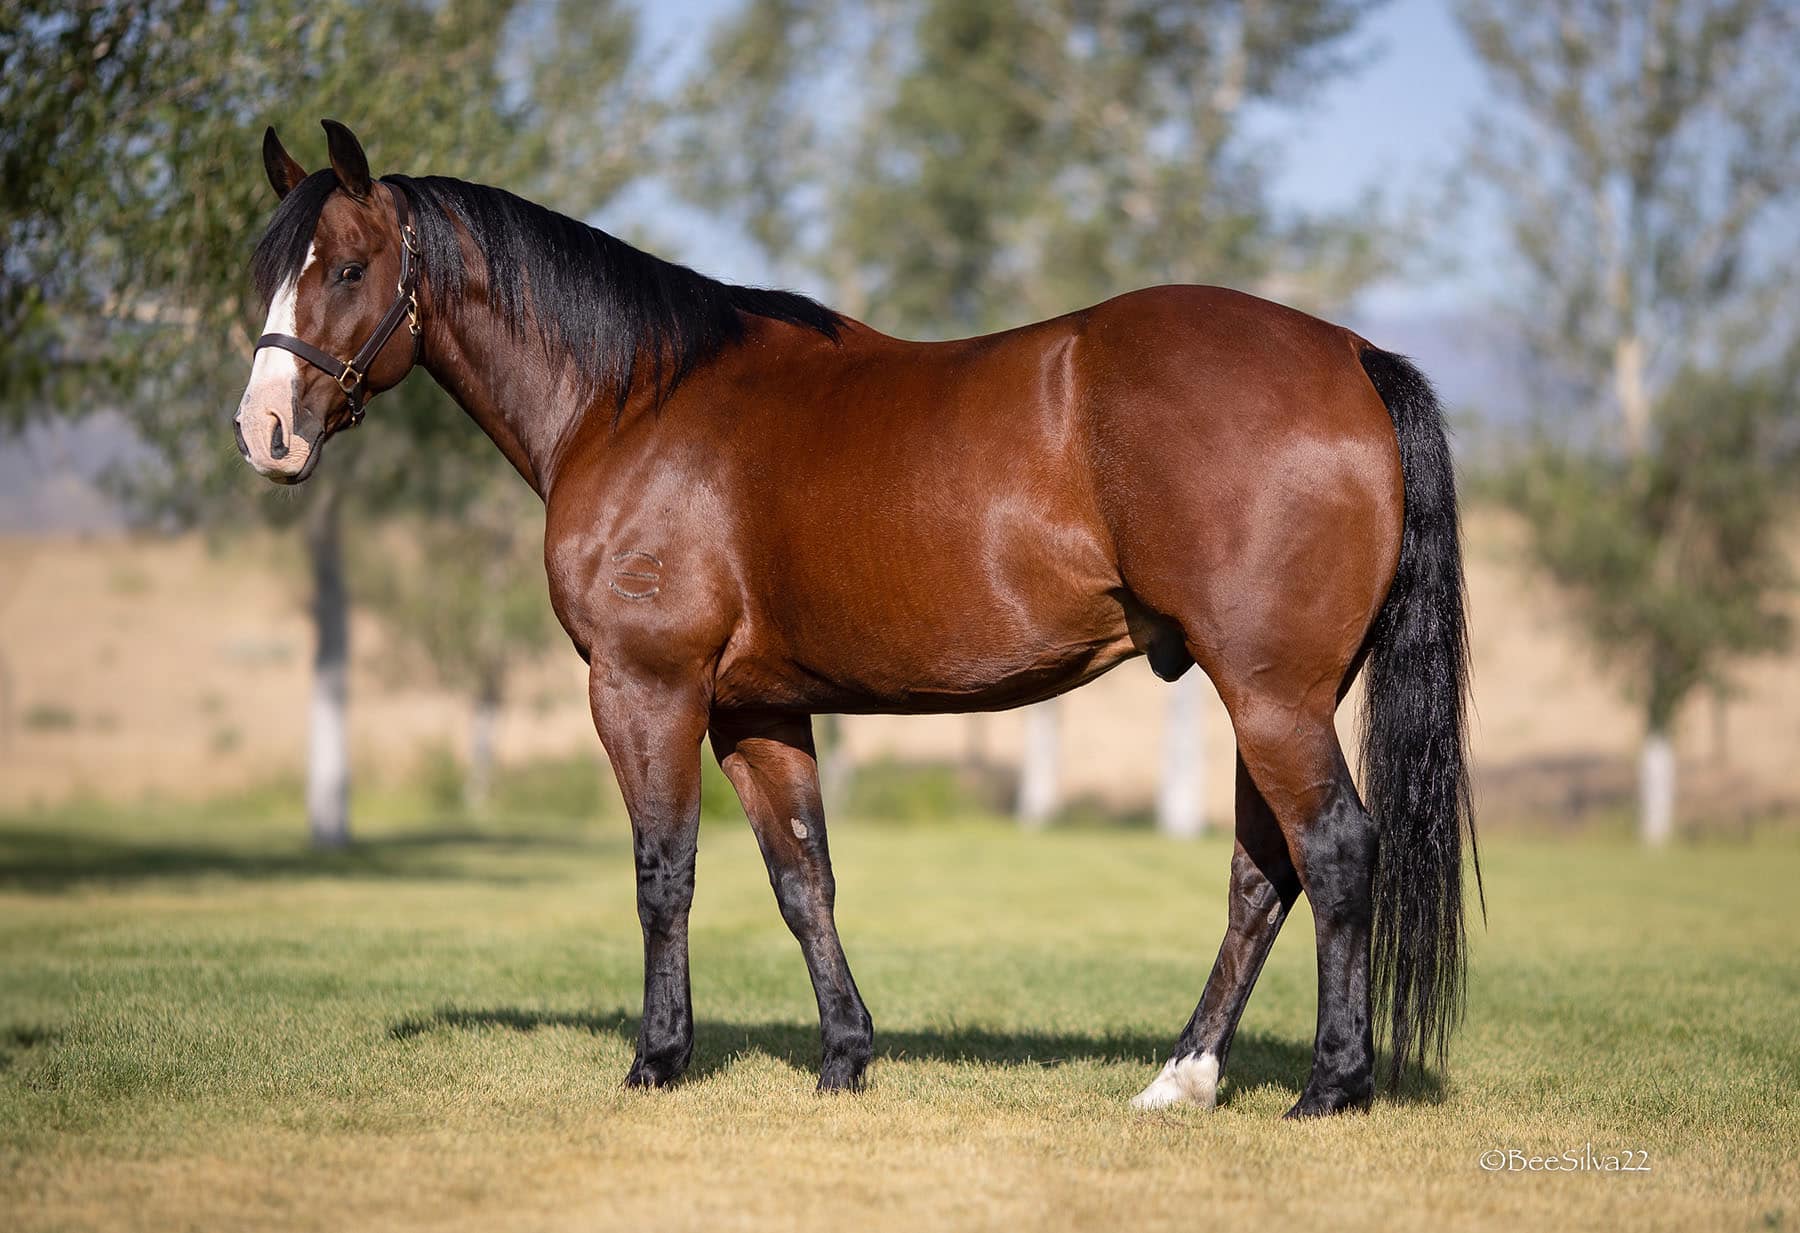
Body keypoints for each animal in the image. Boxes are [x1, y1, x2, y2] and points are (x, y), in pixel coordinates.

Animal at [235, 120, 1477, 1118]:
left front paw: (658, 1061)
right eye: (270, 274)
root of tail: (1350, 354)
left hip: (1269, 692)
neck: (631, 401)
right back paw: (1183, 1077)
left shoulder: (646, 686)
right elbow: (802, 878)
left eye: (349, 265)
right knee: (1264, 876)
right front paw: (844, 1056)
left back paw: (1330, 1086)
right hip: (1275, 694)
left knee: (1334, 852)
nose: (265, 435)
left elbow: (663, 872)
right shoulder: (755, 710)